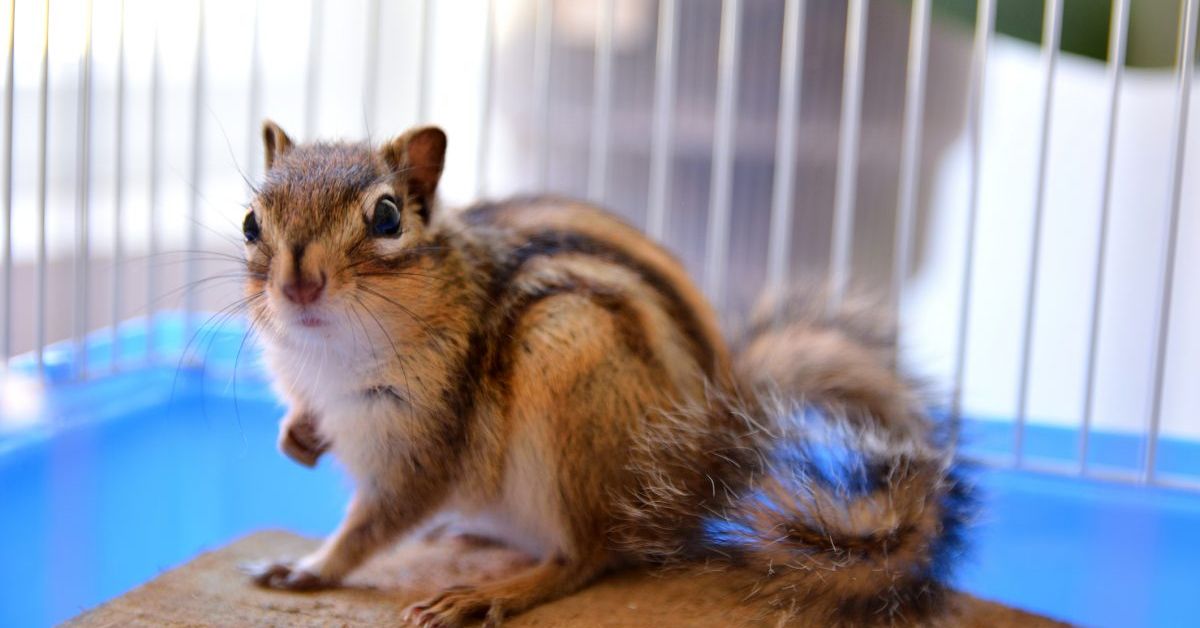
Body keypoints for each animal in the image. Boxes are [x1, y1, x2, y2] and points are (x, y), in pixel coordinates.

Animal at [242, 121, 973, 627]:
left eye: (387, 216)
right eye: (251, 222)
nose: (298, 284)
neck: (328, 357)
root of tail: (714, 456)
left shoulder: (424, 444)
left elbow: (374, 523)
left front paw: (308, 566)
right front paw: (297, 437)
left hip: (566, 366)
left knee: (587, 556)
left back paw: (489, 594)